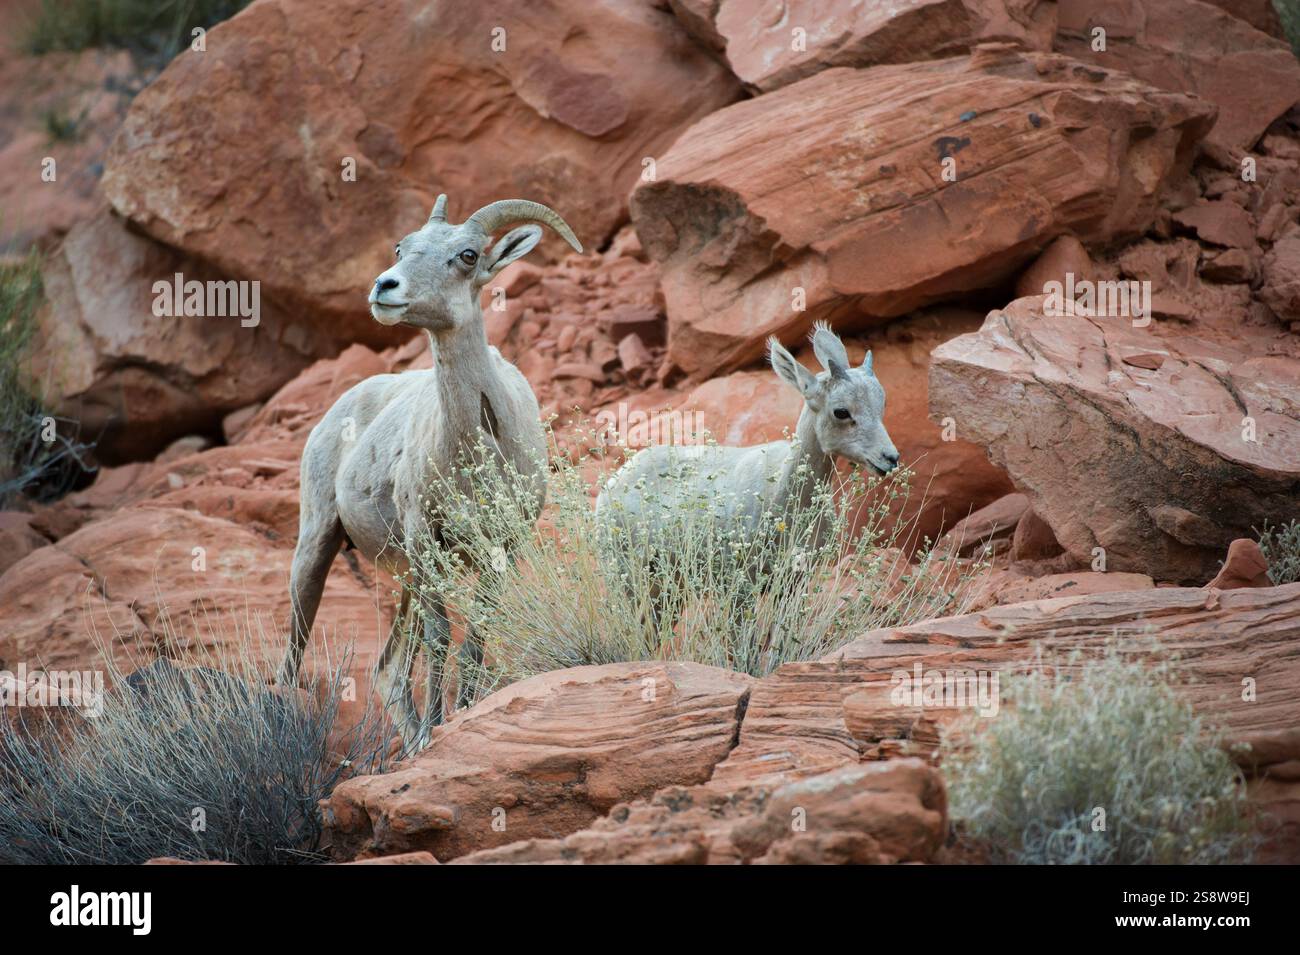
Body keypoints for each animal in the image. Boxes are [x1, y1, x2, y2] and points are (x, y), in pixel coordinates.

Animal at [277, 194, 581, 751]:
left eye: (467, 255)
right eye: (403, 247)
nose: (385, 286)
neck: (475, 452)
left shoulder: (501, 549)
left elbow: (476, 634)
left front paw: (459, 715)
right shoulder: (427, 540)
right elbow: (442, 640)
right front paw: (432, 735)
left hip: (405, 581)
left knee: (389, 671)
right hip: (321, 547)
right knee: (296, 646)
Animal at [595, 323, 899, 628]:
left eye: (882, 404)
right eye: (841, 411)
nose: (890, 458)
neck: (785, 500)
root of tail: (612, 486)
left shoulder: (794, 583)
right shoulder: (741, 586)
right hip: (631, 579)